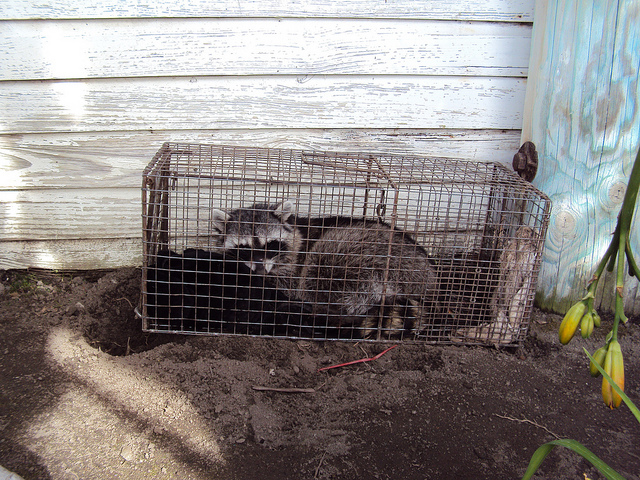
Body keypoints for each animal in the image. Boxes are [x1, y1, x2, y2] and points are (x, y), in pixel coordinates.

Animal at [211, 201, 439, 339]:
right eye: (244, 248)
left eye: (270, 245)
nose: (259, 268)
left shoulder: (294, 266)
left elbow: (286, 284)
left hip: (367, 256)